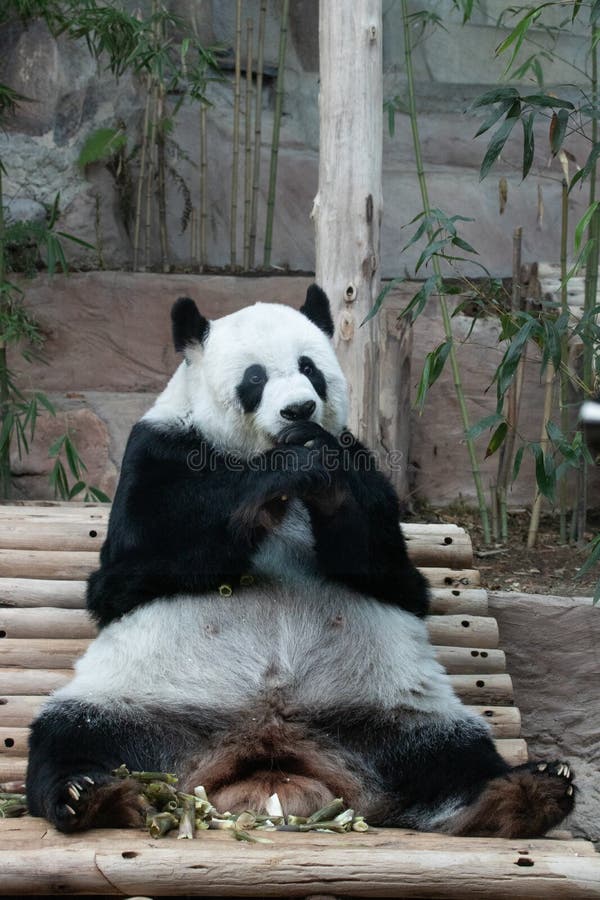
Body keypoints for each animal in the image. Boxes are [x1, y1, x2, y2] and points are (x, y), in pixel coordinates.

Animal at [26, 284, 575, 837]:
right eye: (255, 378)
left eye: (309, 368)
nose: (299, 409)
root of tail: (270, 747)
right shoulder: (156, 454)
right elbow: (125, 575)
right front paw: (276, 477)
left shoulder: (362, 464)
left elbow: (395, 576)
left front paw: (321, 472)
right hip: (143, 703)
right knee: (74, 736)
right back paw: (90, 795)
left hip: (386, 714)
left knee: (450, 755)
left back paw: (525, 792)